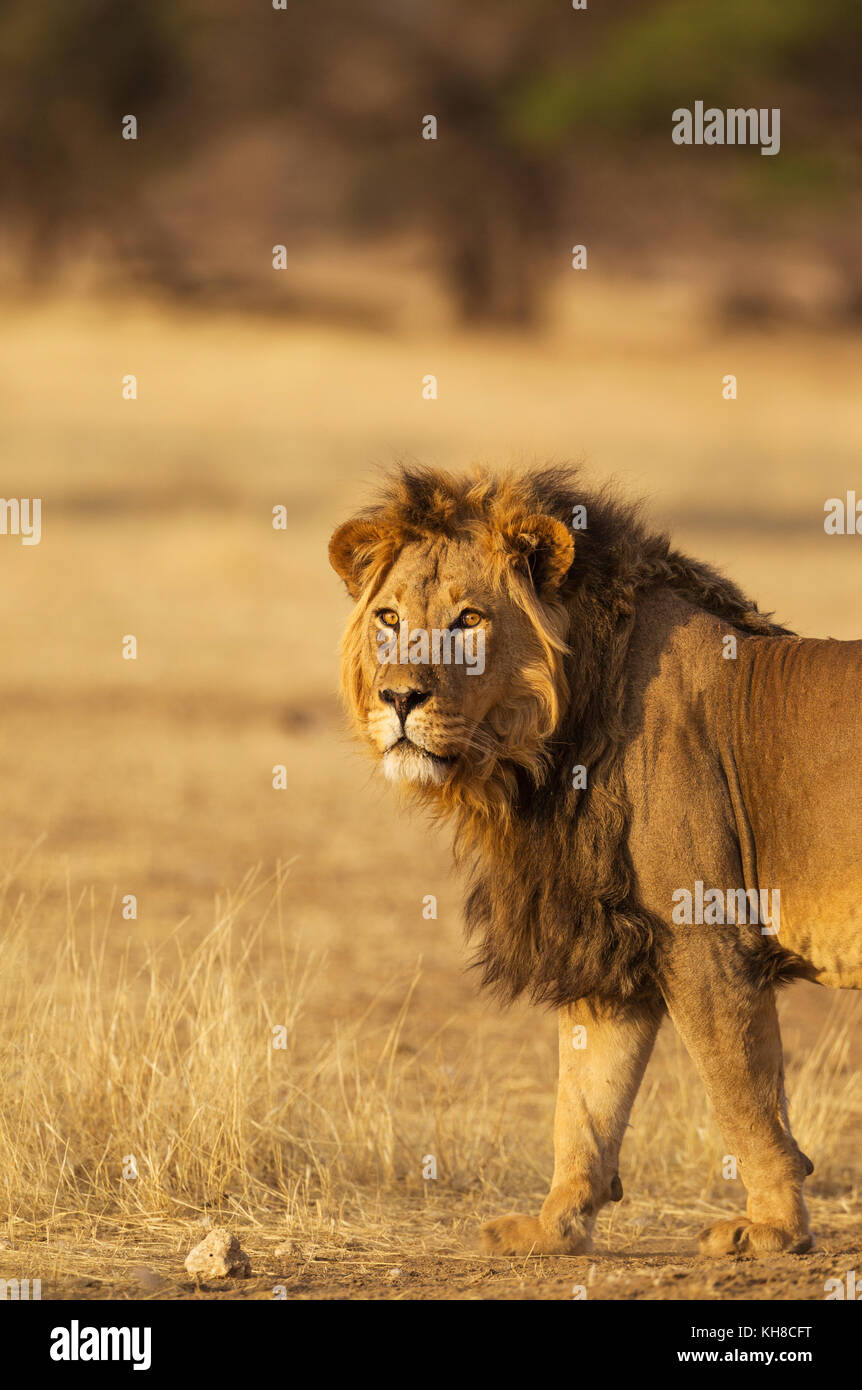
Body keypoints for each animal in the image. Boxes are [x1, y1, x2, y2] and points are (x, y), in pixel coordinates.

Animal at [329, 464, 862, 1257]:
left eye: (468, 620)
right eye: (389, 619)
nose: (399, 697)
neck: (538, 760)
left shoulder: (706, 935)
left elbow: (742, 1094)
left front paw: (773, 1230)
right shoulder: (600, 937)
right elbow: (585, 1103)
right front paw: (554, 1229)